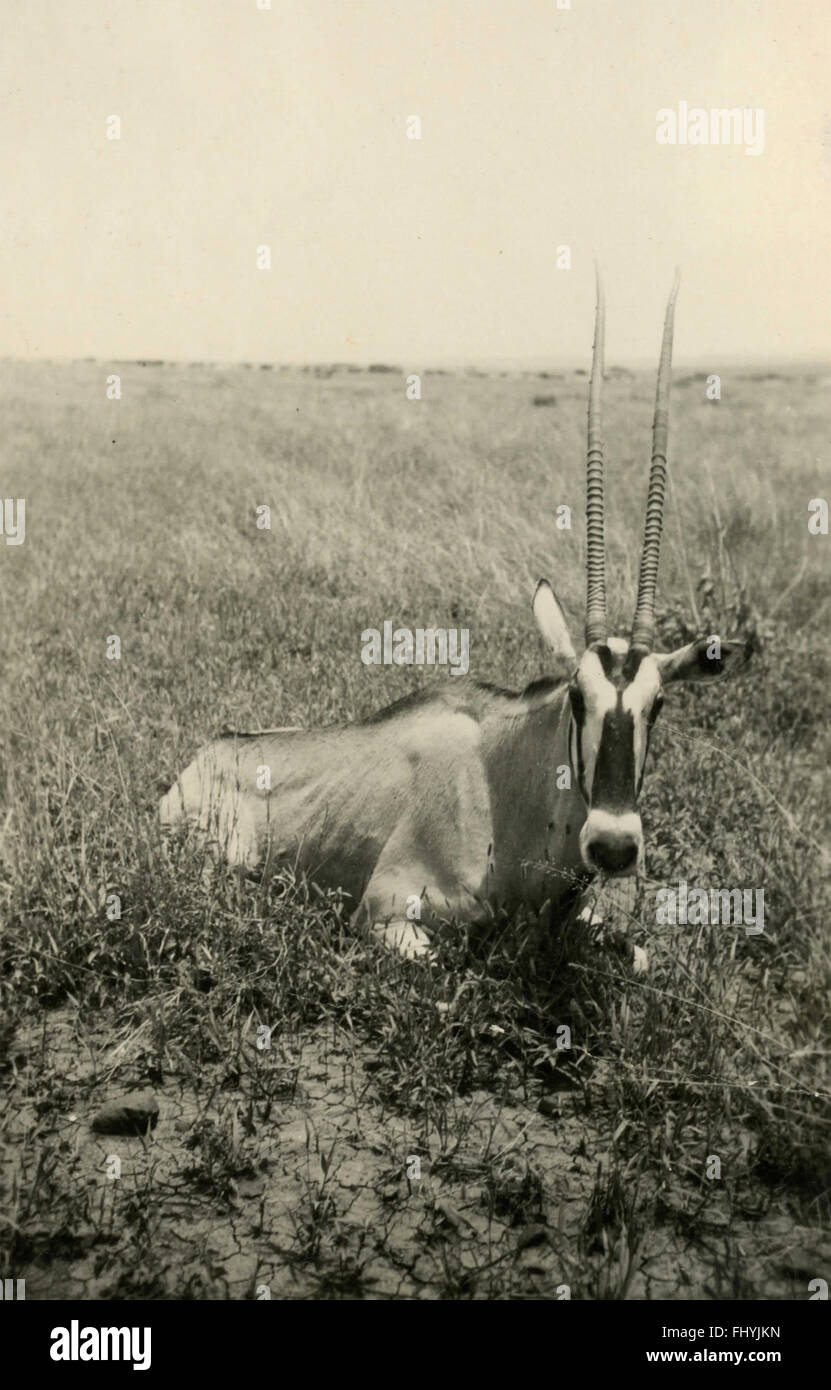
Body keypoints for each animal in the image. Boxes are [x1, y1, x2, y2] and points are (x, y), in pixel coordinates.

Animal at [160, 274, 751, 960]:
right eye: (578, 696)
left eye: (658, 703)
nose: (613, 846)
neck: (505, 783)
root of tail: (202, 759)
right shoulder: (385, 913)